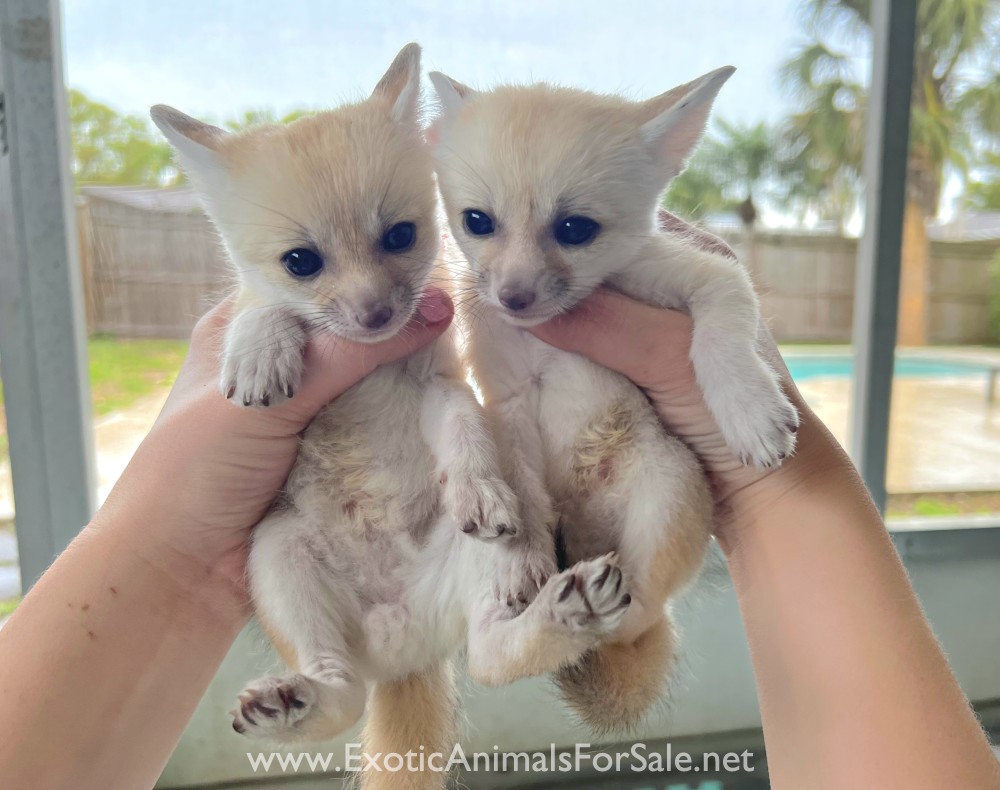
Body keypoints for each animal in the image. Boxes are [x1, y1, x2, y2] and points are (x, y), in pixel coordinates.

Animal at [151, 44, 631, 790]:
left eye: (401, 236)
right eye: (301, 261)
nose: (377, 315)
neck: (373, 369)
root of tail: (402, 651)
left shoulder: (439, 385)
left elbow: (466, 429)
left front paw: (479, 485)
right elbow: (258, 305)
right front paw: (260, 349)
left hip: (473, 567)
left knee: (489, 657)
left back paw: (566, 608)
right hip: (278, 554)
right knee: (343, 696)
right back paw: (296, 702)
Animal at [429, 66, 799, 733]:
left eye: (575, 229)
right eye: (476, 221)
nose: (513, 297)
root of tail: (584, 538)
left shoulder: (710, 276)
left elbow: (722, 333)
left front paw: (749, 409)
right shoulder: (506, 404)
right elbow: (520, 488)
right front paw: (523, 553)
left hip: (669, 488)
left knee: (633, 622)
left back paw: (581, 613)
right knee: (491, 657)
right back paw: (555, 610)